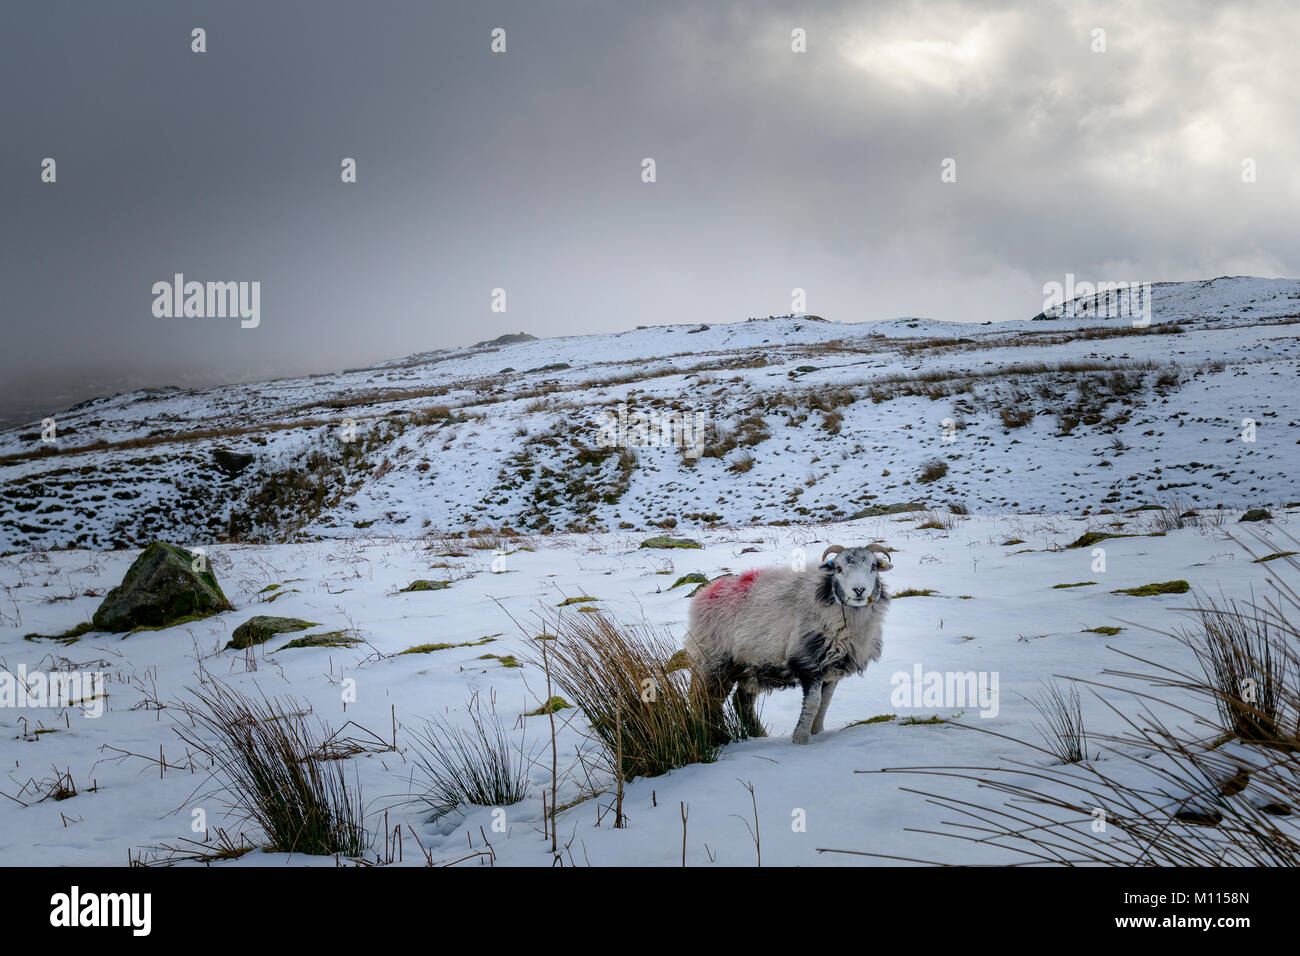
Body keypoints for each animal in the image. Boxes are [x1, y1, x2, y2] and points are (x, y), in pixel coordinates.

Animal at [684, 543, 892, 744]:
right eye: (838, 568)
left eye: (873, 566)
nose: (859, 591)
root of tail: (704, 593)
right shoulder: (808, 662)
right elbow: (813, 703)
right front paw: (801, 739)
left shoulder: (834, 668)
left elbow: (824, 704)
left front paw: (817, 733)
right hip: (715, 663)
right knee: (705, 702)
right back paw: (717, 737)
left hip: (750, 668)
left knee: (740, 703)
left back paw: (758, 736)